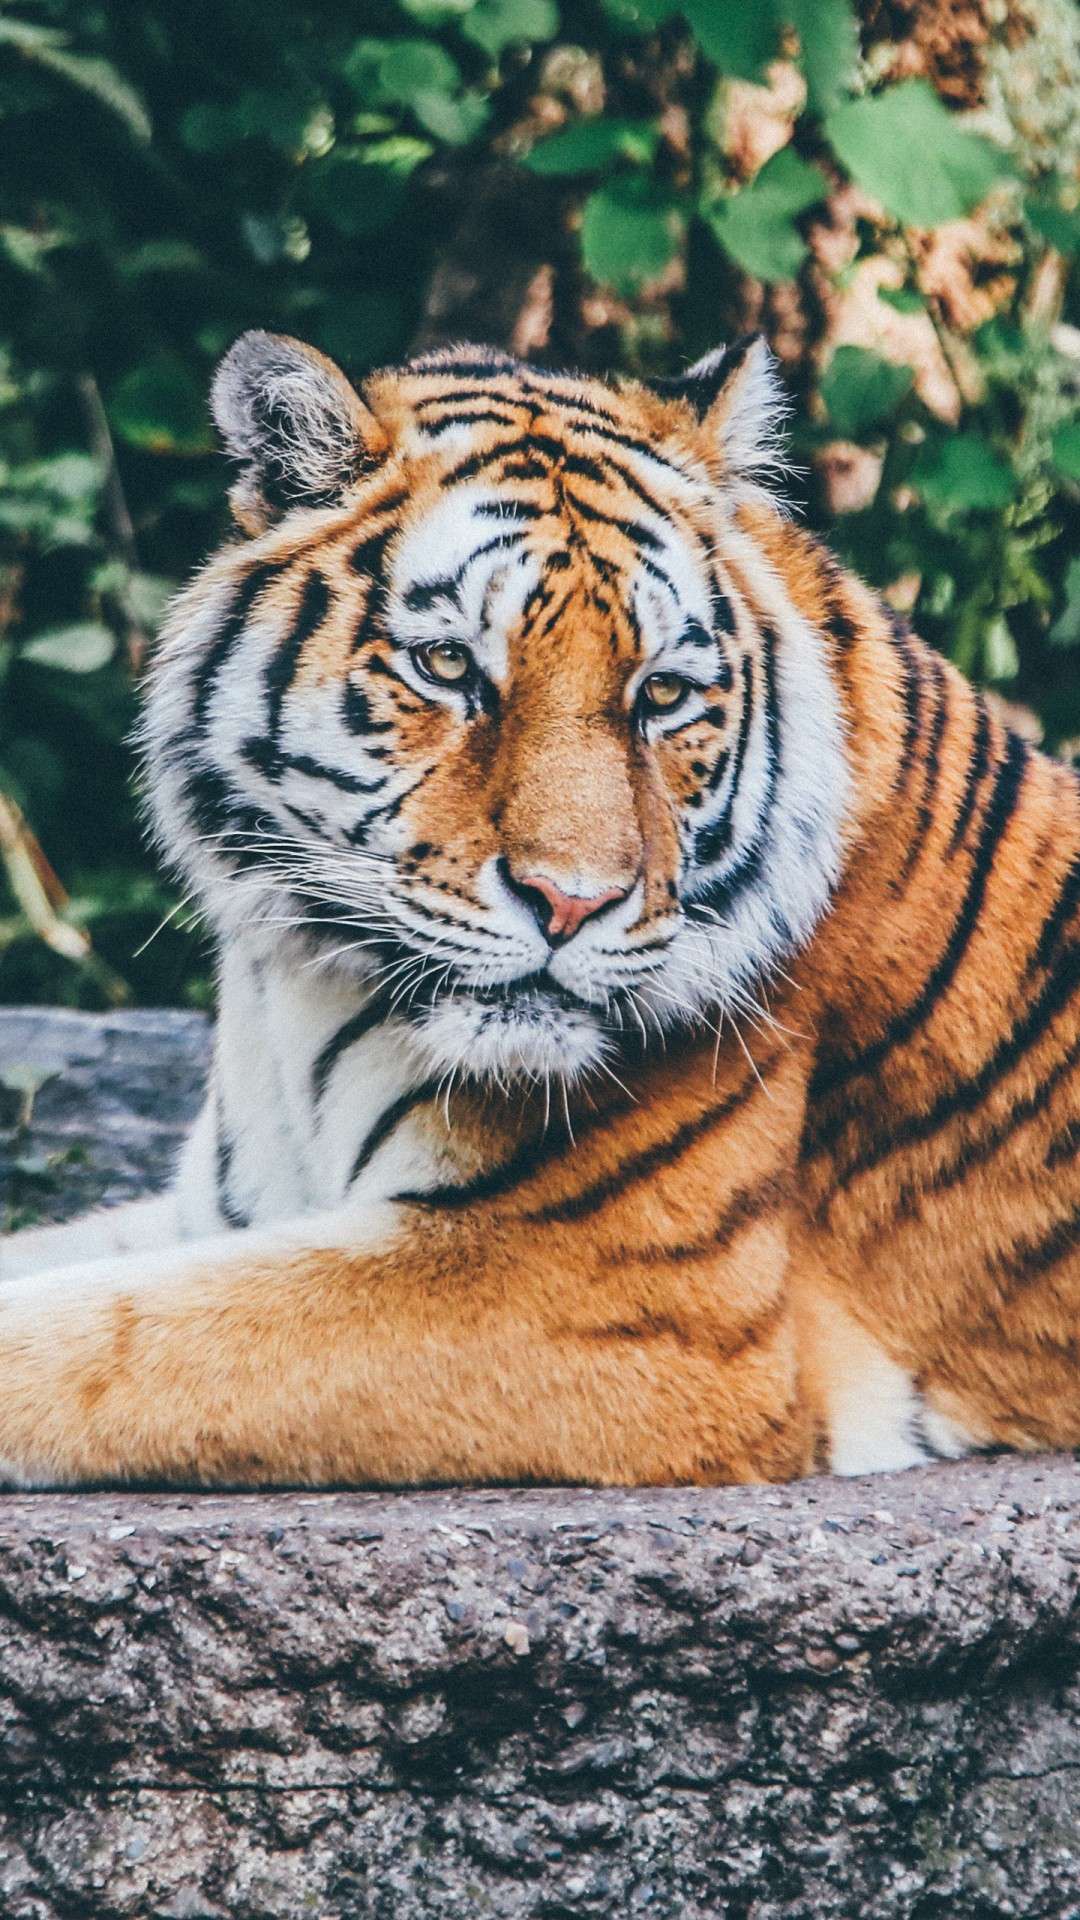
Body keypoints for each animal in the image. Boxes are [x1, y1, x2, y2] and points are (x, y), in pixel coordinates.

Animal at [1, 326, 1078, 1490]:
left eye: (663, 695)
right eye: (446, 665)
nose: (571, 902)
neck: (304, 984)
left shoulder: (601, 1289)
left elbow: (109, 1333)